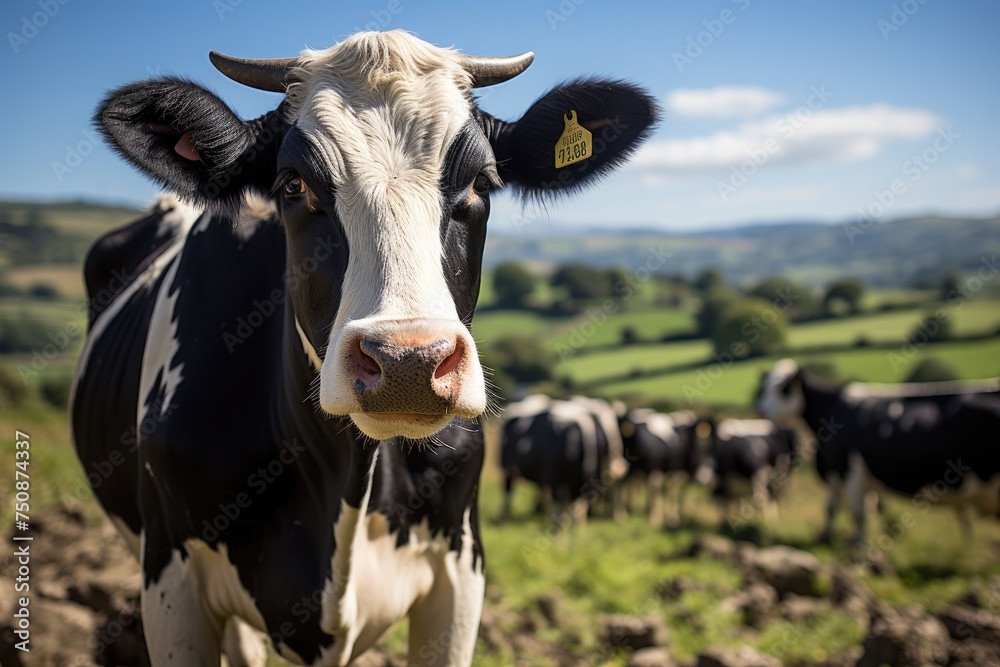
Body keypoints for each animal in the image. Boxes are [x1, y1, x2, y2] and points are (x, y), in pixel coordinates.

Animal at [500, 395, 627, 524]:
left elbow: (577, 512)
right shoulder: (553, 480)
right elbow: (558, 510)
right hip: (506, 471)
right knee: (508, 493)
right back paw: (506, 517)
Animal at [757, 359, 1000, 545]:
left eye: (782, 389)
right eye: (765, 386)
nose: (761, 409)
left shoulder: (850, 471)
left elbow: (858, 514)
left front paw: (856, 544)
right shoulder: (839, 472)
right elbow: (832, 507)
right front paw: (825, 538)